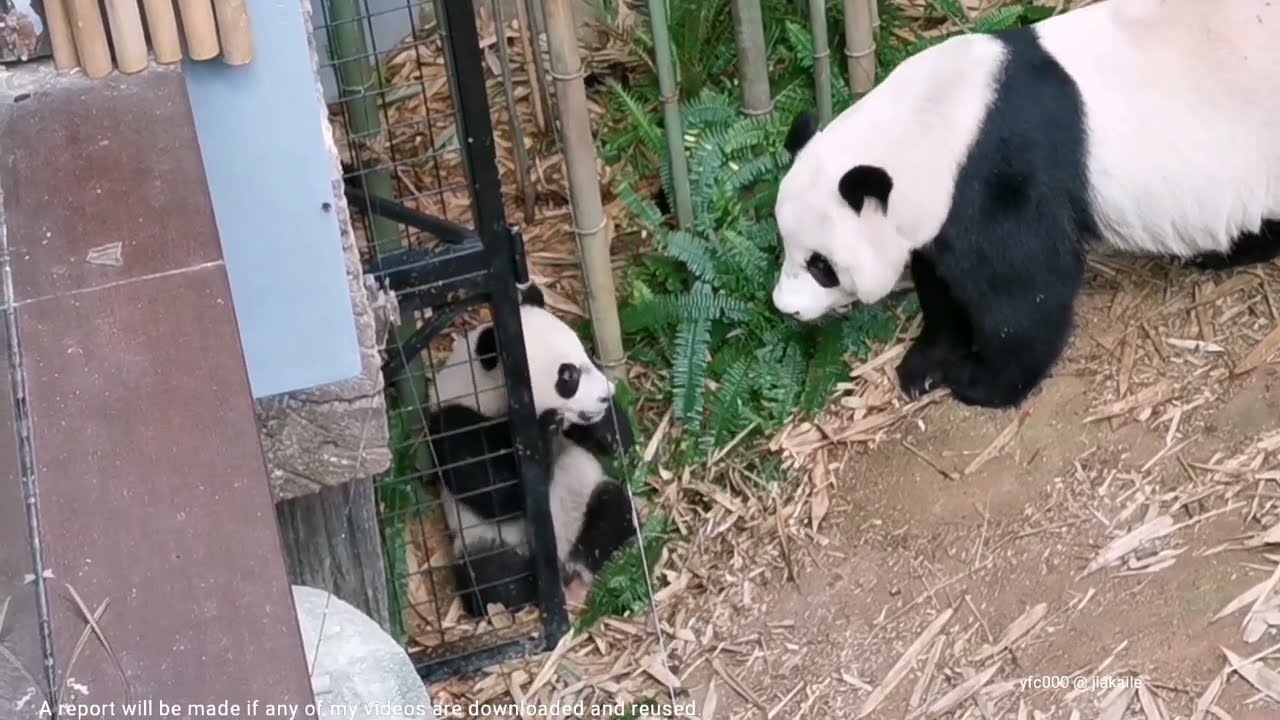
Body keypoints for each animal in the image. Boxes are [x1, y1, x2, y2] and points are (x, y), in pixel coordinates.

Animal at [424, 284, 638, 617]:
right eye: (568, 376)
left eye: (586, 354)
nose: (606, 395)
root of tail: (561, 555)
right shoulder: (452, 422)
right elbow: (498, 492)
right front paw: (543, 428)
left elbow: (620, 447)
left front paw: (605, 427)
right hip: (483, 538)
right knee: (491, 578)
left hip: (587, 500)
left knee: (612, 510)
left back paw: (579, 570)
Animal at [770, 0, 1280, 410]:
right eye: (785, 248)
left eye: (821, 265)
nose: (785, 309)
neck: (933, 117)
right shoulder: (941, 206)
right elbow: (942, 285)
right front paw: (923, 365)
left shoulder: (999, 172)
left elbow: (1025, 290)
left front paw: (979, 381)